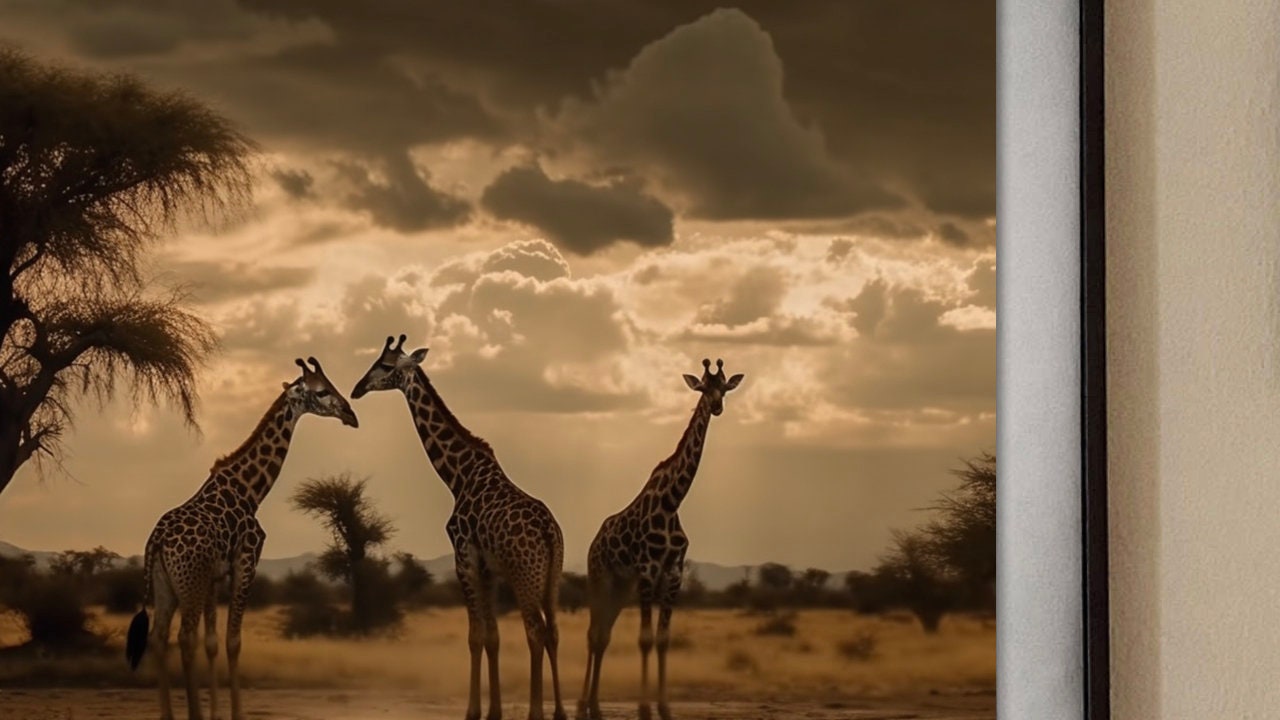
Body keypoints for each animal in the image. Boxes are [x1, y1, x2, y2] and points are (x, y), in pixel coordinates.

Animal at [125, 357, 359, 720]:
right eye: (321, 391)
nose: (350, 414)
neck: (251, 491)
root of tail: (157, 540)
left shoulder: (213, 577)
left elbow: (212, 643)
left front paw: (215, 714)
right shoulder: (246, 561)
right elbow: (233, 642)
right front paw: (234, 713)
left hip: (167, 585)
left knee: (159, 637)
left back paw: (169, 715)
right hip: (188, 582)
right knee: (184, 638)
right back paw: (191, 714)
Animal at [351, 334, 567, 720]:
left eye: (386, 365)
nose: (357, 388)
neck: (458, 475)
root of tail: (549, 534)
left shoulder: (463, 556)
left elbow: (475, 636)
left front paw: (473, 711)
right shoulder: (488, 568)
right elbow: (493, 637)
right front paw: (494, 710)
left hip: (524, 575)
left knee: (535, 631)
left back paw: (536, 712)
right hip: (551, 576)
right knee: (554, 632)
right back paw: (559, 712)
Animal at [577, 358, 743, 720]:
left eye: (724, 388)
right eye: (703, 388)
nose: (717, 407)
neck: (672, 502)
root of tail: (594, 541)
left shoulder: (672, 575)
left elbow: (663, 640)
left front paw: (664, 706)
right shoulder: (647, 573)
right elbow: (644, 639)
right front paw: (643, 707)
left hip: (620, 587)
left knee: (604, 635)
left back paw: (594, 705)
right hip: (600, 579)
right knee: (593, 634)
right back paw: (583, 705)